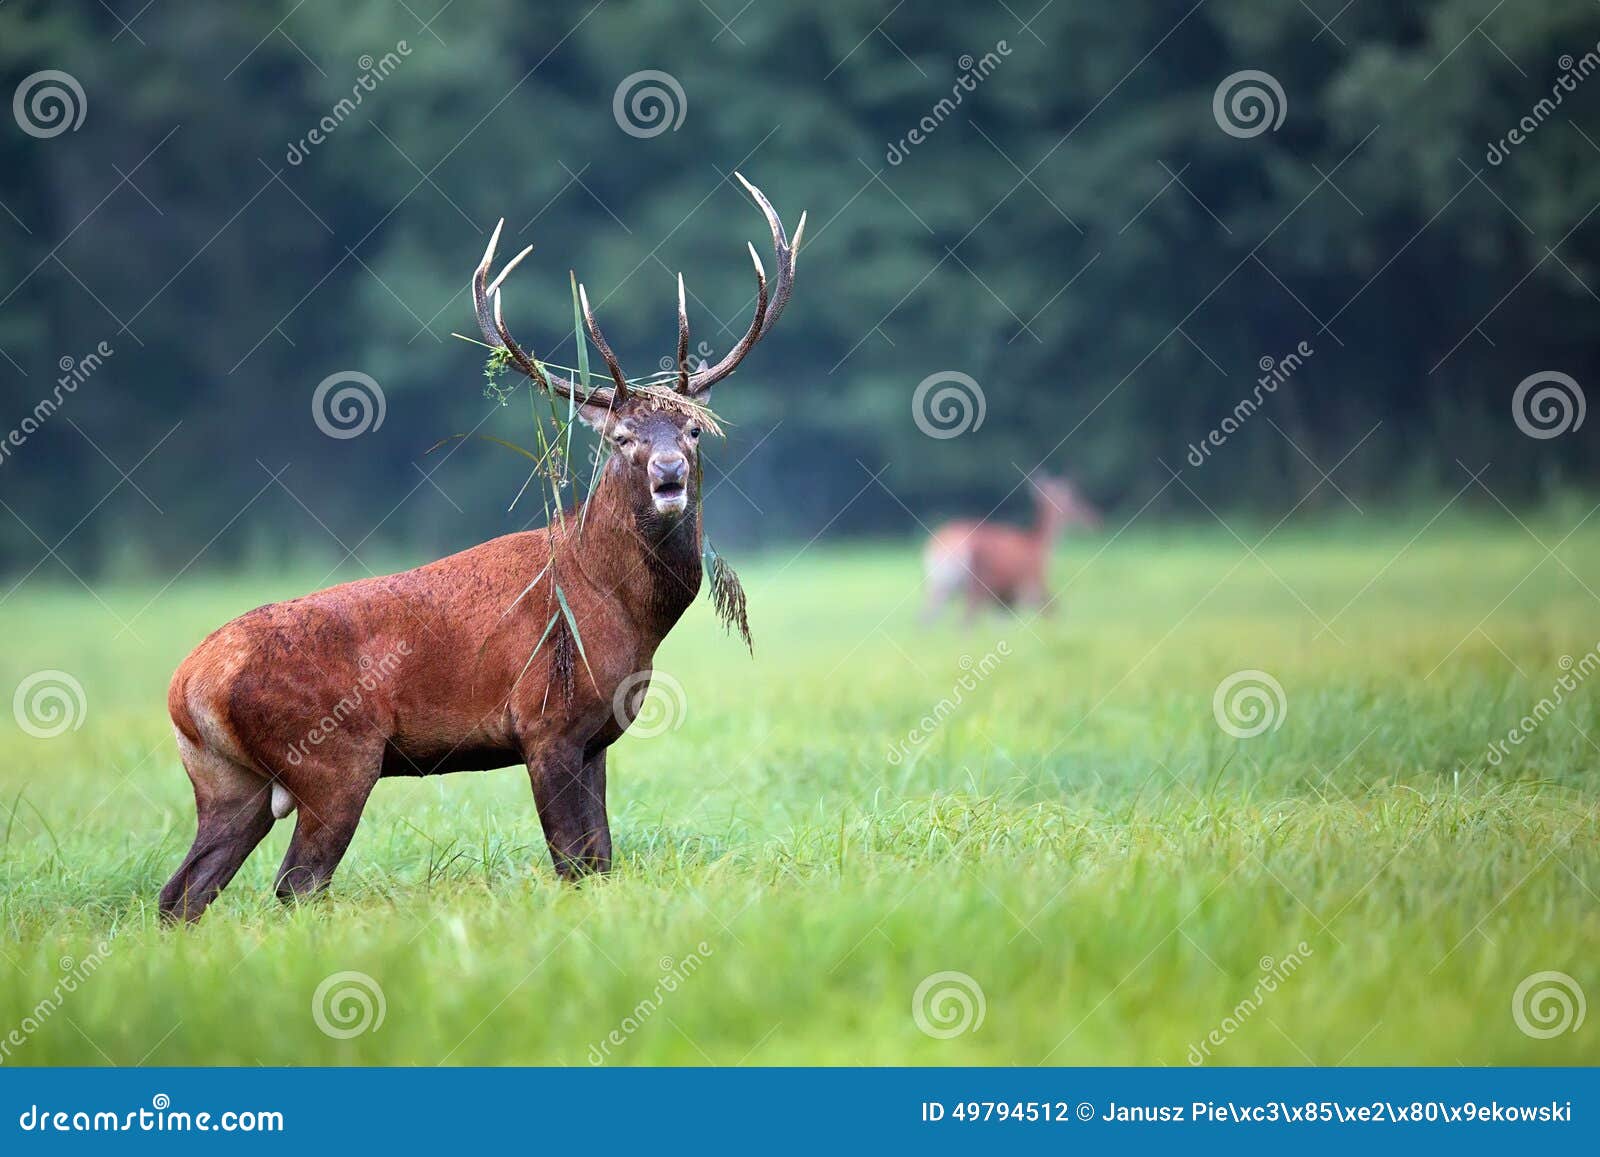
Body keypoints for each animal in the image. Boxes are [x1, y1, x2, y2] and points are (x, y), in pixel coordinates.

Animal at [157, 175, 802, 923]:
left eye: (694, 430)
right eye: (623, 438)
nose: (668, 474)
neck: (623, 609)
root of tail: (189, 683)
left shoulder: (595, 737)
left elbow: (603, 861)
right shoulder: (545, 724)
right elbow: (573, 863)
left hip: (226, 780)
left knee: (180, 893)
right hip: (334, 759)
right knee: (296, 885)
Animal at [921, 473, 1100, 623]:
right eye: (1074, 498)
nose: (1094, 518)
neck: (1039, 544)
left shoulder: (1006, 601)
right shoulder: (1031, 585)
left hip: (940, 584)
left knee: (927, 617)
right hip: (978, 585)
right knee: (964, 620)